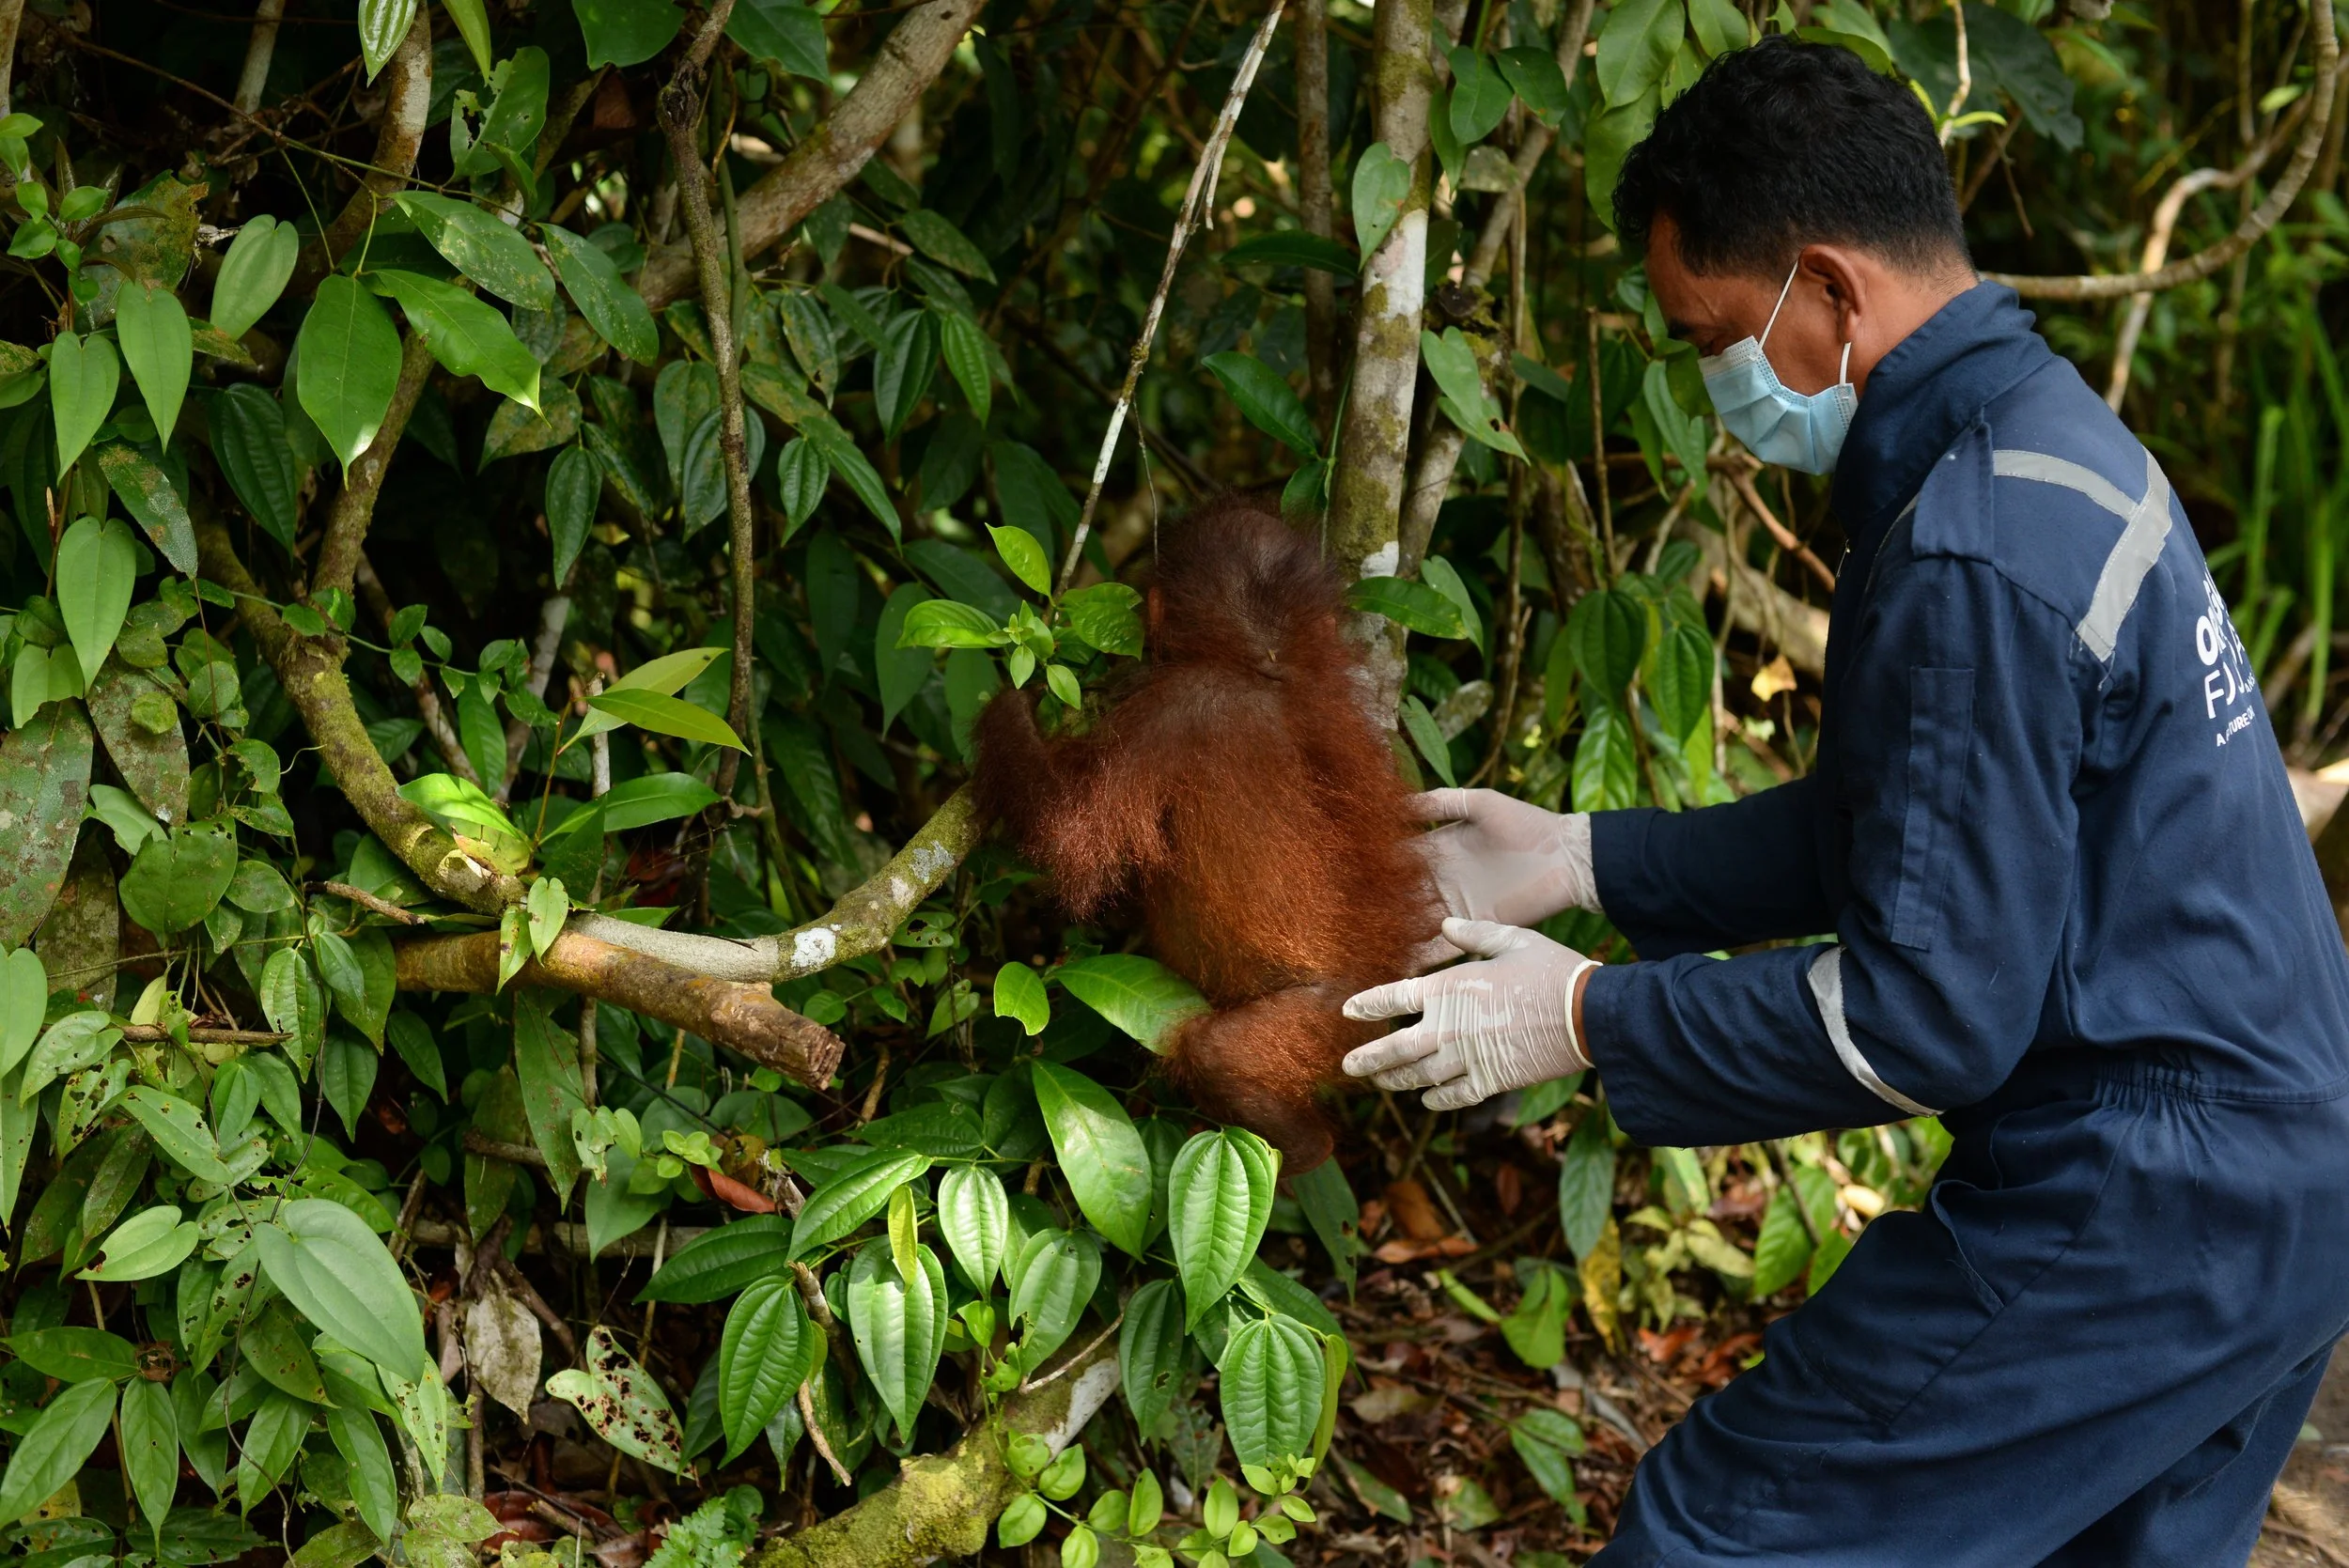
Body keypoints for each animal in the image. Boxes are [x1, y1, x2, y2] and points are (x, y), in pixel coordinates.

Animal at [973, 497, 1444, 1170]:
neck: (1262, 672)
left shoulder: (1173, 710)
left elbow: (1073, 838)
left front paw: (1007, 710)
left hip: (1328, 1017)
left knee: (1217, 1055)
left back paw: (1302, 1148)